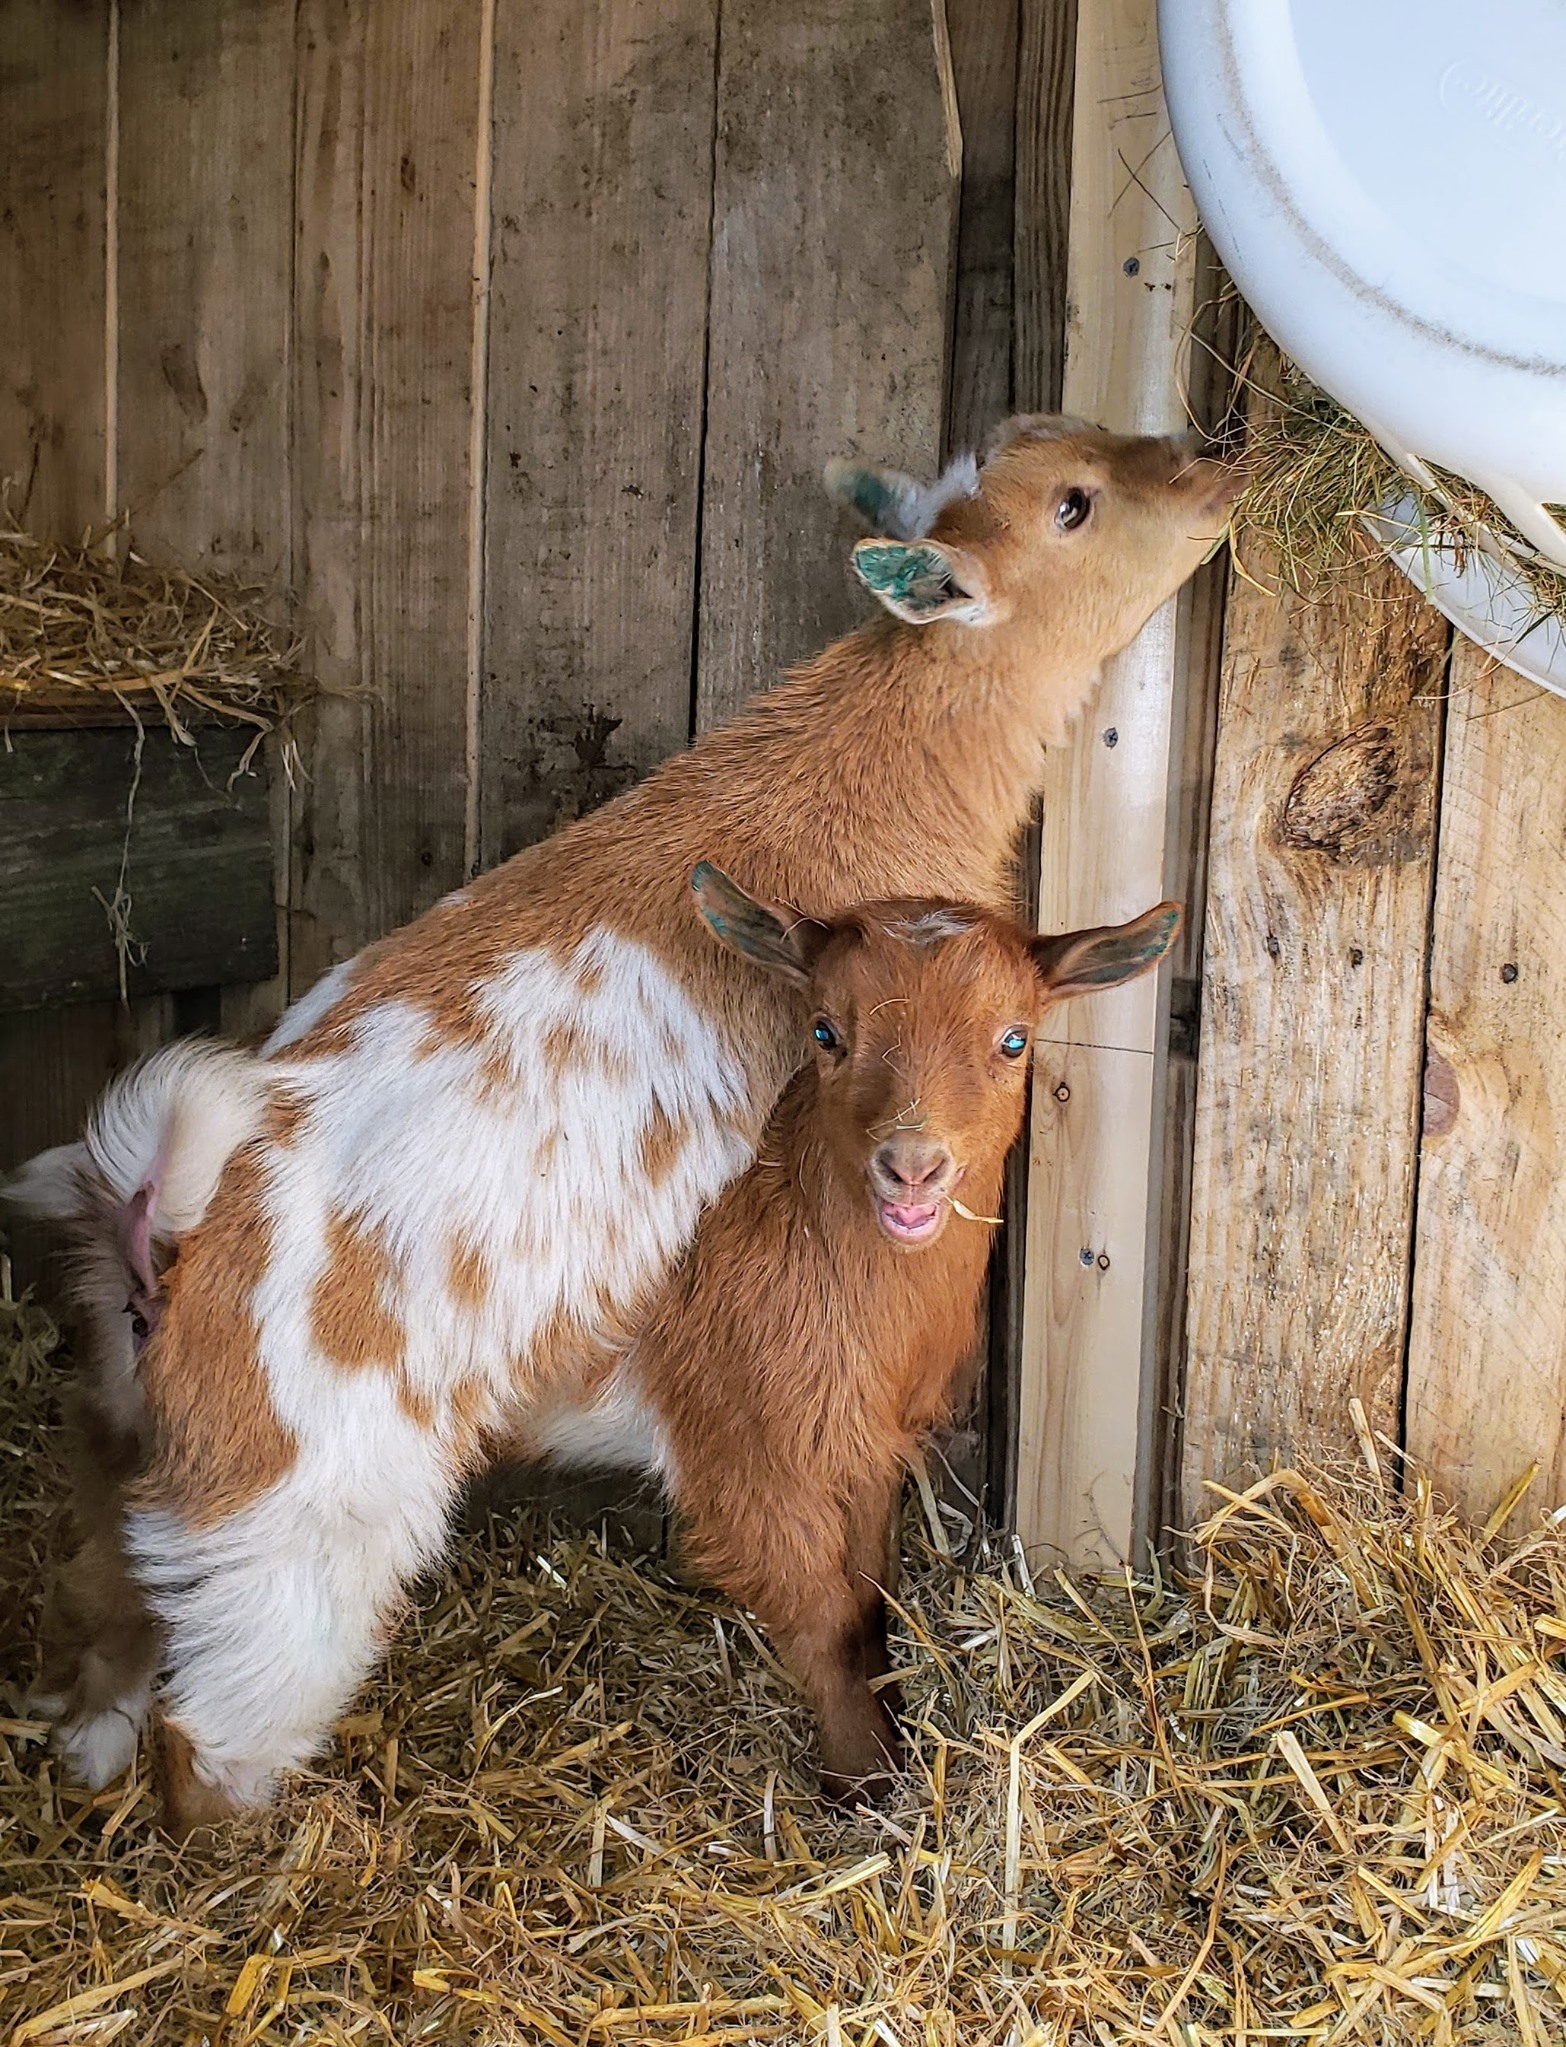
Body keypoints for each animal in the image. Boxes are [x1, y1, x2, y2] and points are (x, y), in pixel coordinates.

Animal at [11, 415, 1235, 1830]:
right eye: (1076, 505)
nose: (1222, 469)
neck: (843, 779)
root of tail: (168, 1224)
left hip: (131, 1432)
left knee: (105, 1592)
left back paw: (85, 1735)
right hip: (296, 1525)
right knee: (212, 1729)